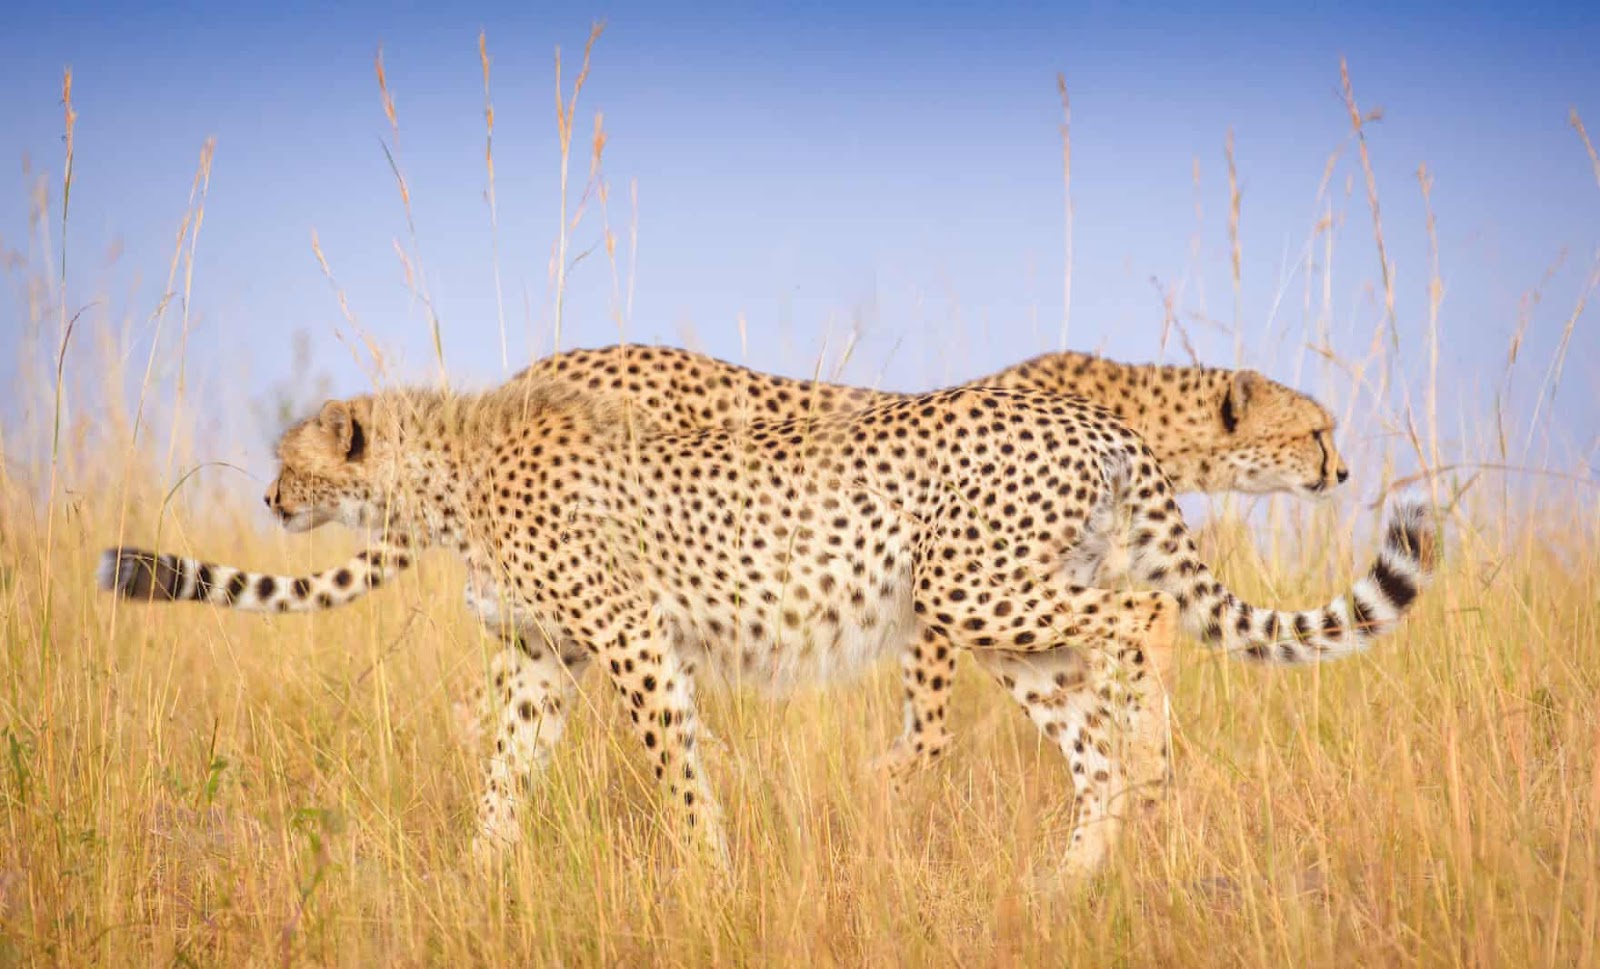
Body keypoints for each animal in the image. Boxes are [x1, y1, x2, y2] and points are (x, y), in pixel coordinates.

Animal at [100, 372, 1434, 875]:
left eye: (290, 460)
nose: (271, 498)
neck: (449, 469)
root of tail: (1088, 416)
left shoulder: (630, 643)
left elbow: (676, 768)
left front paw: (710, 874)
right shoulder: (544, 658)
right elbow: (503, 768)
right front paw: (479, 875)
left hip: (977, 592)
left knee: (1142, 619)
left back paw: (1132, 794)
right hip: (1006, 627)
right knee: (1094, 737)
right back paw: (1070, 883)